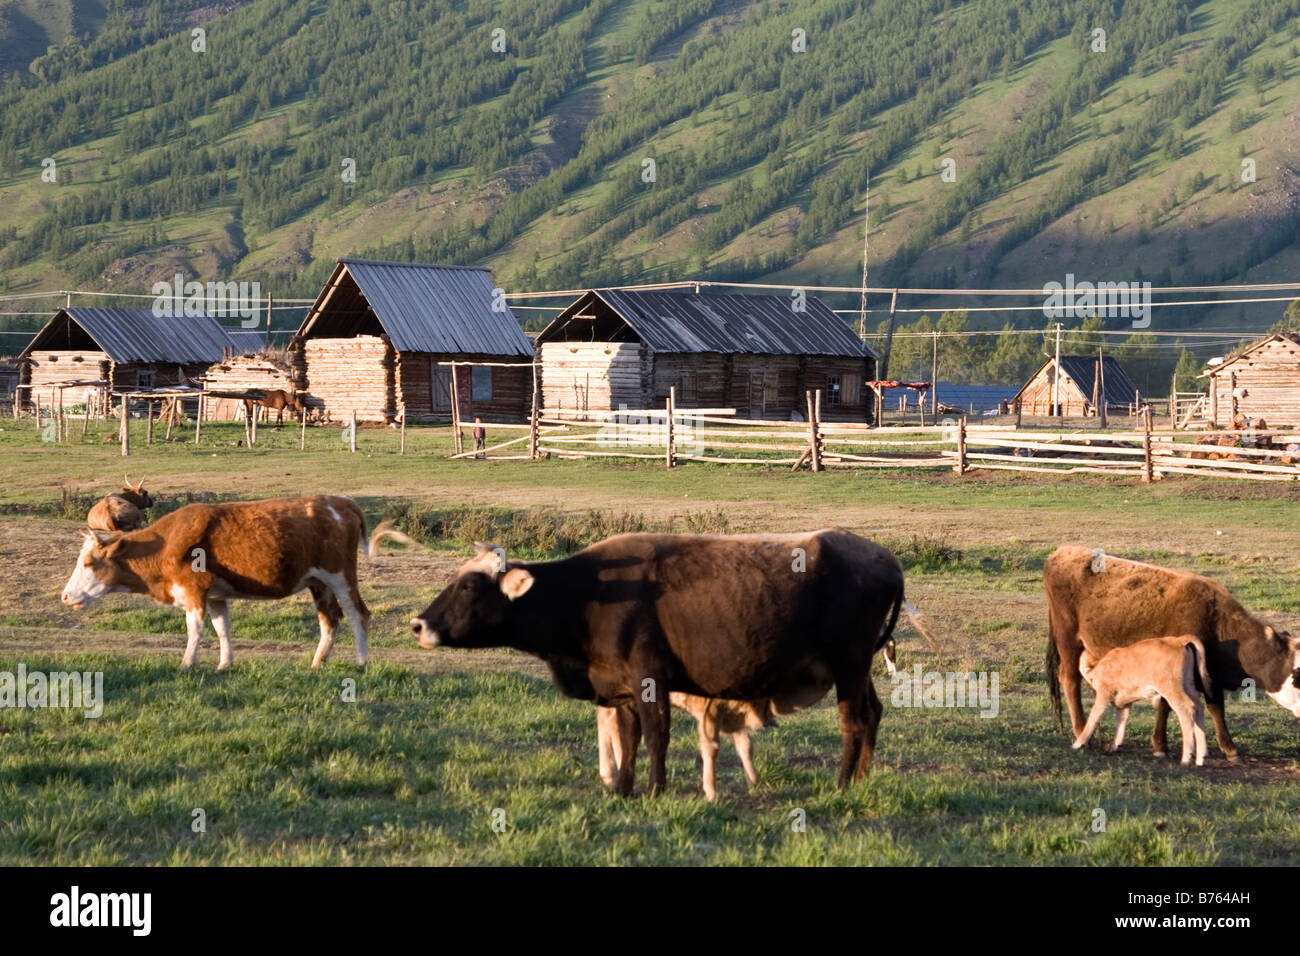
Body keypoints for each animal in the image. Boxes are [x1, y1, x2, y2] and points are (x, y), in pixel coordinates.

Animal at [62, 496, 372, 671]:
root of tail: (343, 503)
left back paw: (361, 661)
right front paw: (224, 664)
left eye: (88, 563)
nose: (65, 596)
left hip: (340, 576)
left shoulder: (195, 591)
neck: (166, 543)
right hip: (318, 583)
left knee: (358, 614)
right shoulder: (215, 596)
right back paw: (317, 663)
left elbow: (195, 629)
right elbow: (222, 628)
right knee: (330, 619)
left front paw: (187, 663)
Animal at [410, 529, 906, 795]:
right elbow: (628, 741)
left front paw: (654, 790)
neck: (587, 594)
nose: (418, 625)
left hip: (848, 665)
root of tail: (885, 557)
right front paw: (623, 790)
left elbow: (656, 737)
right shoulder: (621, 689)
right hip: (858, 669)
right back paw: (862, 779)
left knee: (853, 724)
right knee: (874, 714)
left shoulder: (650, 679)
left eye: (469, 587)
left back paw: (842, 784)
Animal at [1073, 636, 1212, 767]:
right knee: (1199, 707)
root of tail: (1177, 640)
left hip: (1171, 688)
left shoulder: (1103, 694)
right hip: (1187, 684)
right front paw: (1114, 746)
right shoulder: (1124, 704)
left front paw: (1078, 743)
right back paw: (1201, 758)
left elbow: (1093, 717)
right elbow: (1121, 721)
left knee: (1186, 709)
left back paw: (1186, 758)